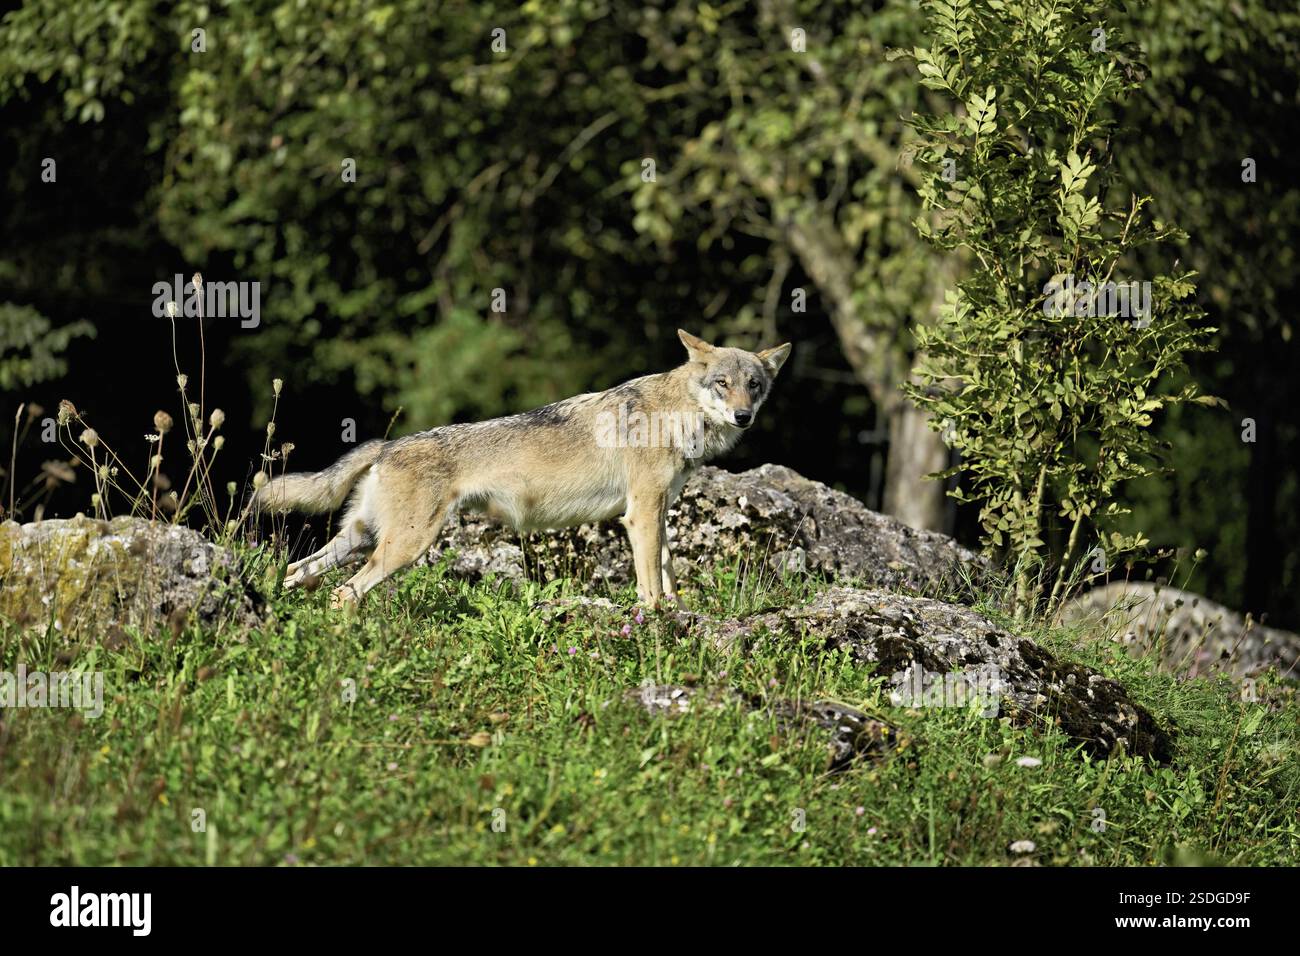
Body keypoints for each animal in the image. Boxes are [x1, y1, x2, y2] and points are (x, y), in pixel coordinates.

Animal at [253, 330, 791, 609]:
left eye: (754, 385)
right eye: (722, 384)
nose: (743, 416)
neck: (674, 414)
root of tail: (386, 445)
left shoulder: (656, 512)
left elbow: (668, 572)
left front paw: (680, 616)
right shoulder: (640, 514)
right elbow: (651, 585)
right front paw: (657, 620)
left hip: (361, 540)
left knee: (298, 573)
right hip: (405, 547)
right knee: (344, 592)